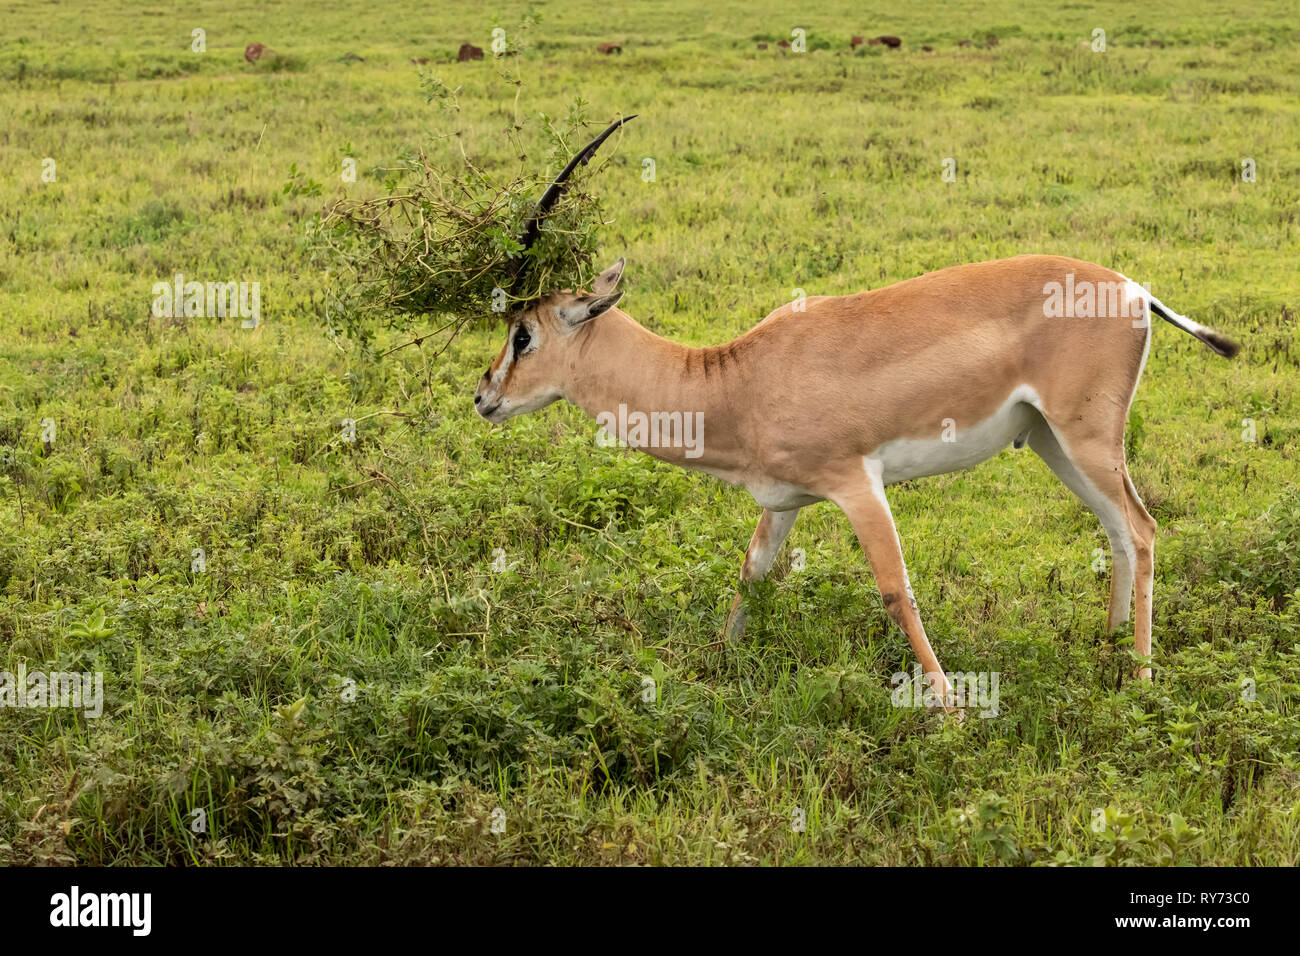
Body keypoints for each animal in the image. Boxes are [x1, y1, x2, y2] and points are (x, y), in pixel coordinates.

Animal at [475, 121, 1239, 710]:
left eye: (523, 334)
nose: (483, 397)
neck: (735, 381)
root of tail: (1135, 289)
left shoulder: (856, 484)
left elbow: (896, 590)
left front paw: (951, 710)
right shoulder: (782, 501)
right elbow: (751, 575)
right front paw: (716, 666)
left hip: (1085, 438)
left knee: (1141, 528)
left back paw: (1141, 680)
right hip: (1052, 441)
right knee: (1115, 530)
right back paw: (1110, 650)